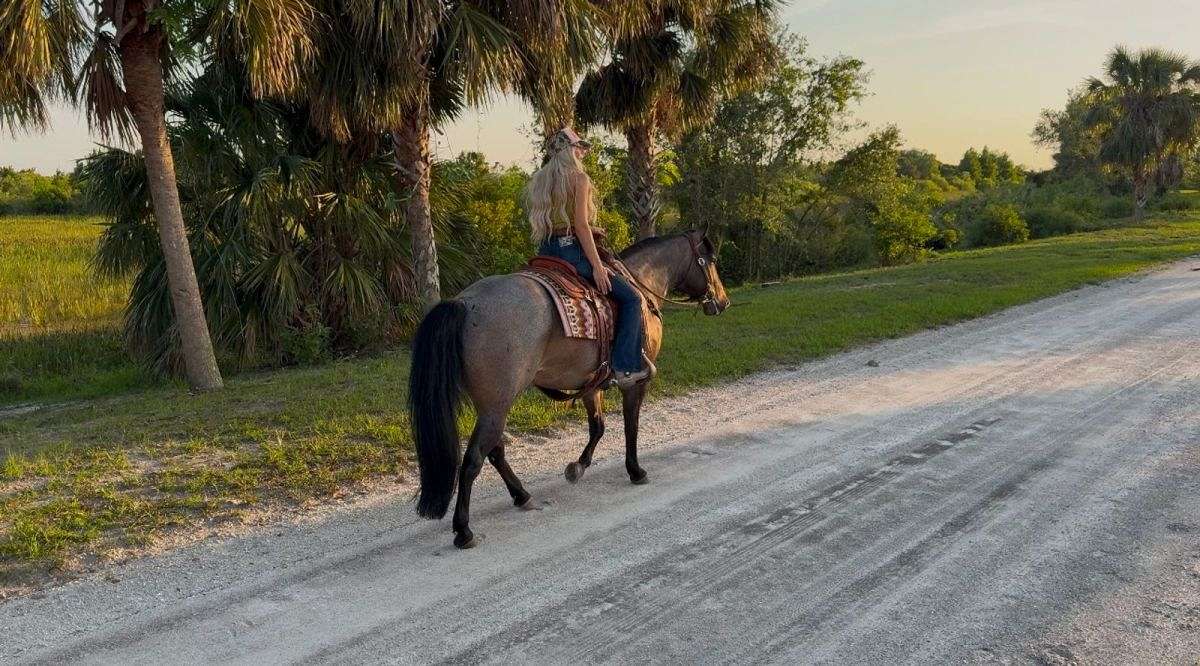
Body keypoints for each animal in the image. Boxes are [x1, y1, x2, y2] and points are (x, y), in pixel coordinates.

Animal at [408, 230, 730, 548]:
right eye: (711, 260)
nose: (723, 301)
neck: (642, 283)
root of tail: (464, 303)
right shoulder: (635, 382)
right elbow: (631, 426)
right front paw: (635, 470)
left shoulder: (591, 384)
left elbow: (598, 427)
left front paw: (578, 466)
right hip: (497, 405)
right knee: (474, 459)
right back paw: (464, 529)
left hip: (489, 404)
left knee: (494, 451)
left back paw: (521, 495)